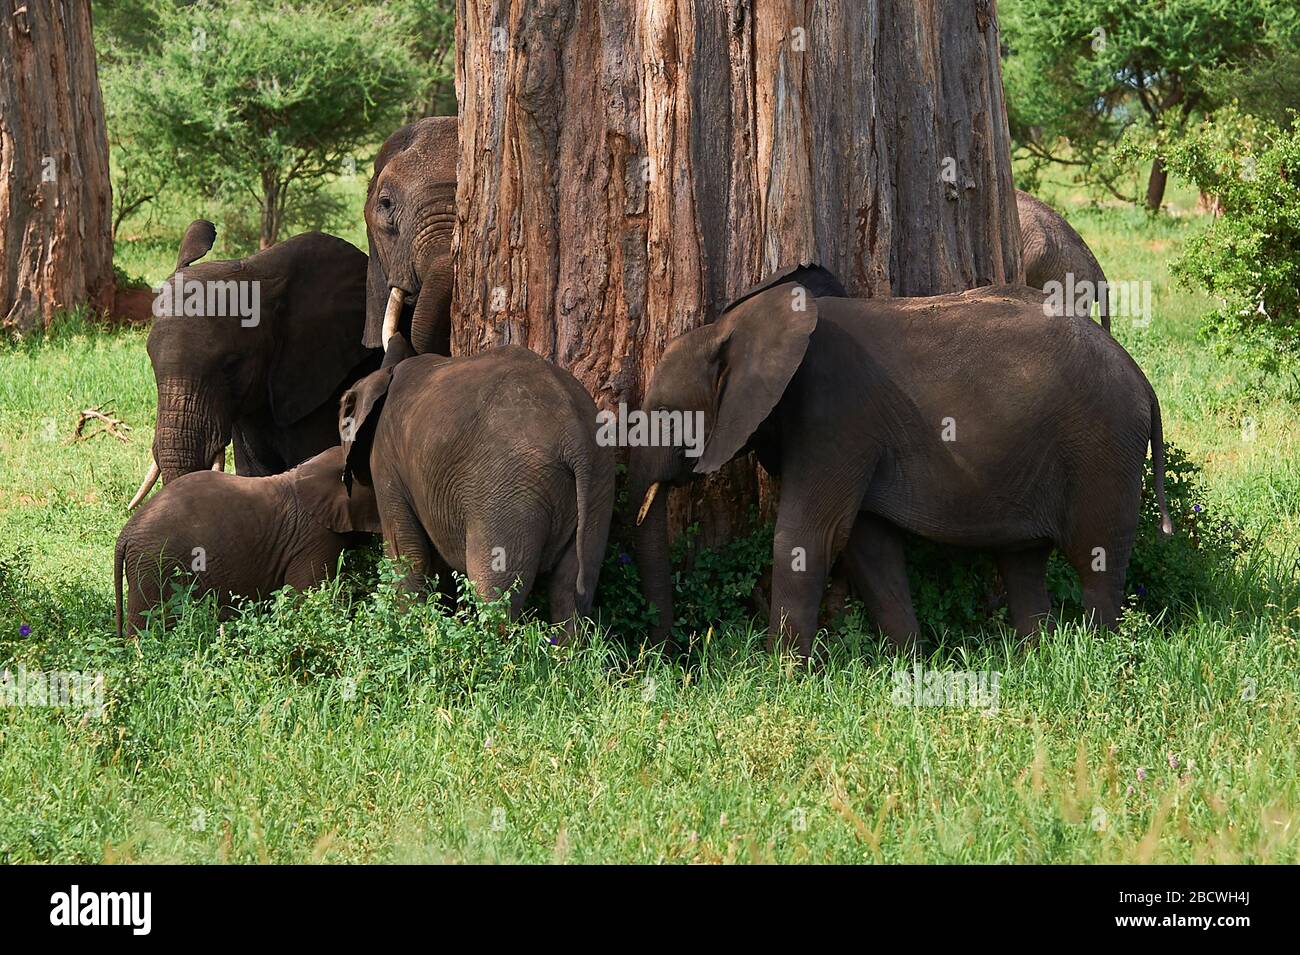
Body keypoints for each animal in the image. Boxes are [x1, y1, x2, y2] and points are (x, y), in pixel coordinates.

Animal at [339, 336, 615, 636]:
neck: (384, 375)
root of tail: (572, 434)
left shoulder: (386, 460)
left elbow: (408, 554)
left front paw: (407, 628)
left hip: (507, 490)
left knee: (494, 591)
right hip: (598, 483)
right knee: (573, 588)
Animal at [629, 265, 1172, 657]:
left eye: (666, 416)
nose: (666, 658)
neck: (734, 328)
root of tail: (1141, 379)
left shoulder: (835, 417)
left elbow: (809, 537)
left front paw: (779, 676)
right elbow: (868, 546)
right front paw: (908, 665)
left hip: (1103, 445)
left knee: (1095, 559)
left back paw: (1099, 655)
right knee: (1023, 561)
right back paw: (1036, 658)